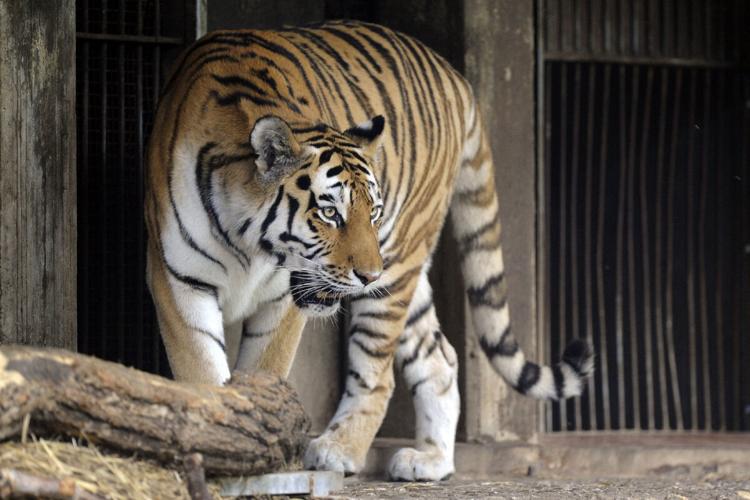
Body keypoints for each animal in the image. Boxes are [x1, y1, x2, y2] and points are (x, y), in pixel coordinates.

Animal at [145, 20, 593, 481]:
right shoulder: (178, 279)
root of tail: (456, 76)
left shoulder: (282, 298)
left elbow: (265, 371)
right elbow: (200, 373)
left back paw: (340, 448)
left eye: (373, 212)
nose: (369, 275)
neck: (247, 242)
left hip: (397, 268)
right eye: (329, 212)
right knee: (442, 359)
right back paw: (429, 461)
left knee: (379, 375)